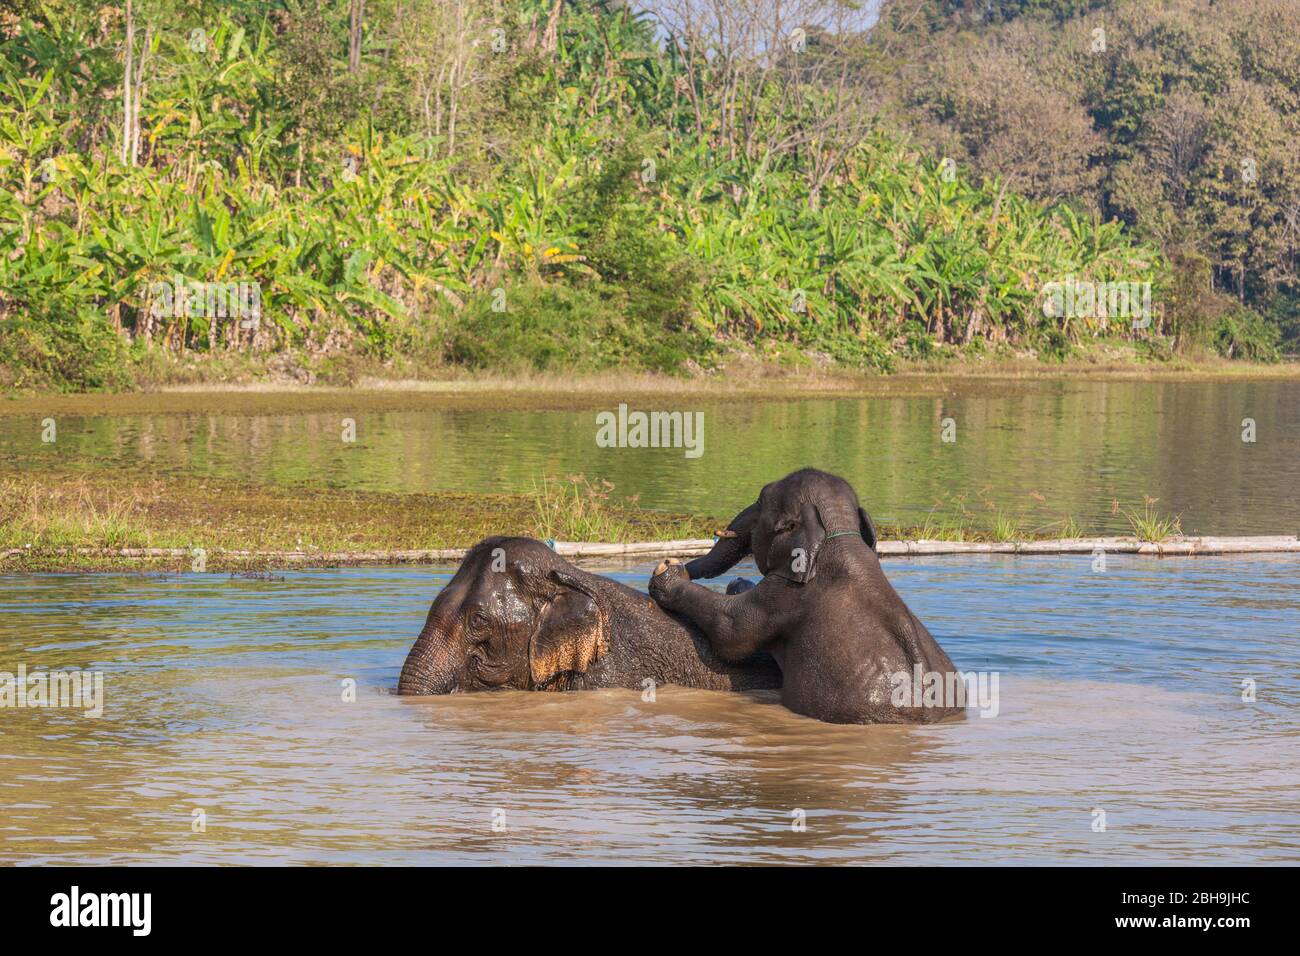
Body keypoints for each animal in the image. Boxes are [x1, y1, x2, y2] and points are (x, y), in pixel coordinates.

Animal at [648, 468, 964, 725]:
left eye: (761, 499)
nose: (673, 559)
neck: (837, 534)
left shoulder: (789, 596)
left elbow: (730, 634)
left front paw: (666, 574)